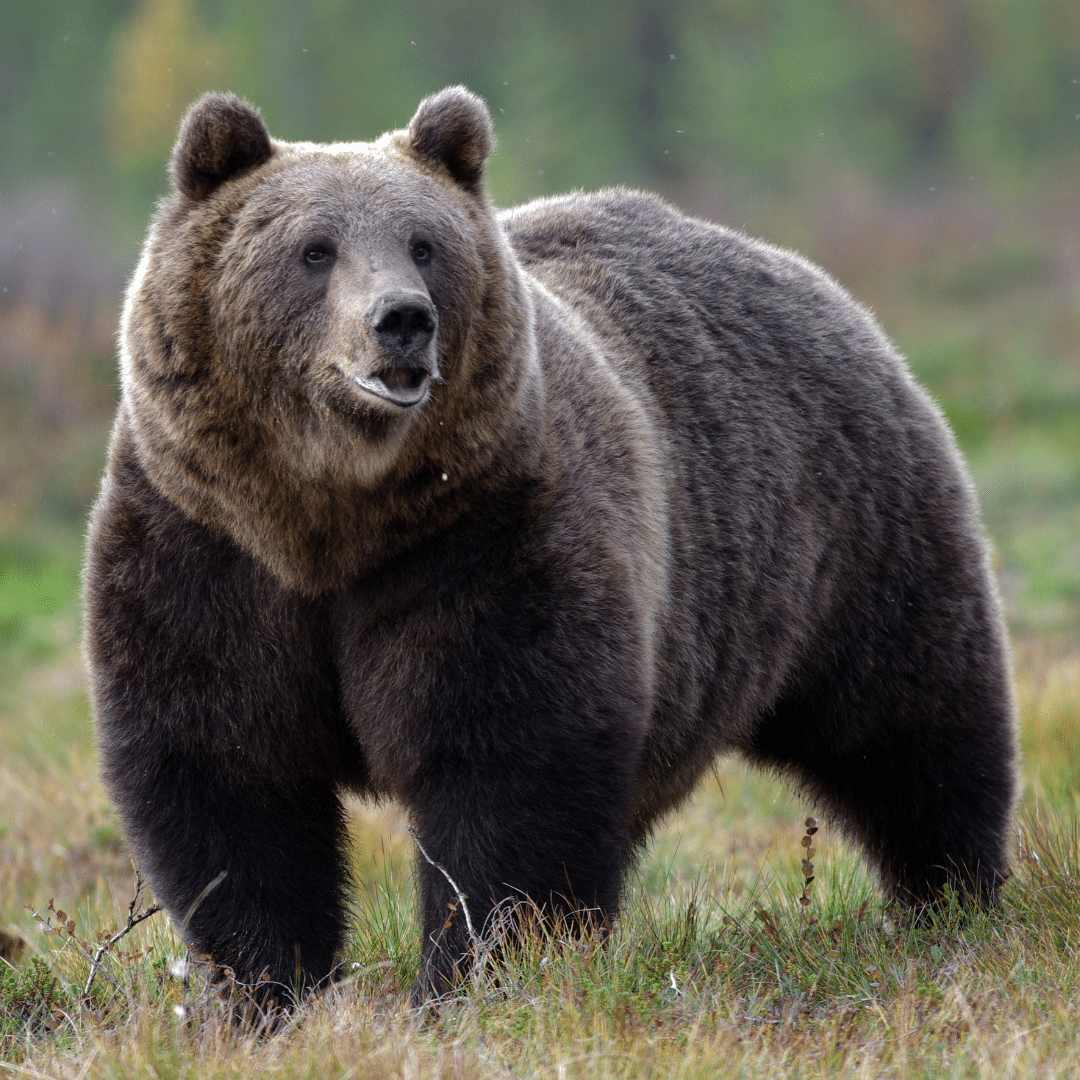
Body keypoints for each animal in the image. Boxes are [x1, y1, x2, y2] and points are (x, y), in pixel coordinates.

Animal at [84, 86, 1017, 1005]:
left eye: (424, 244)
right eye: (315, 249)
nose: (402, 321)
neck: (332, 520)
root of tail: (798, 269)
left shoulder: (484, 536)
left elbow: (508, 762)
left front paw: (477, 969)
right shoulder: (204, 547)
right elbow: (227, 768)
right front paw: (269, 984)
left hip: (847, 531)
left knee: (910, 718)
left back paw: (953, 893)